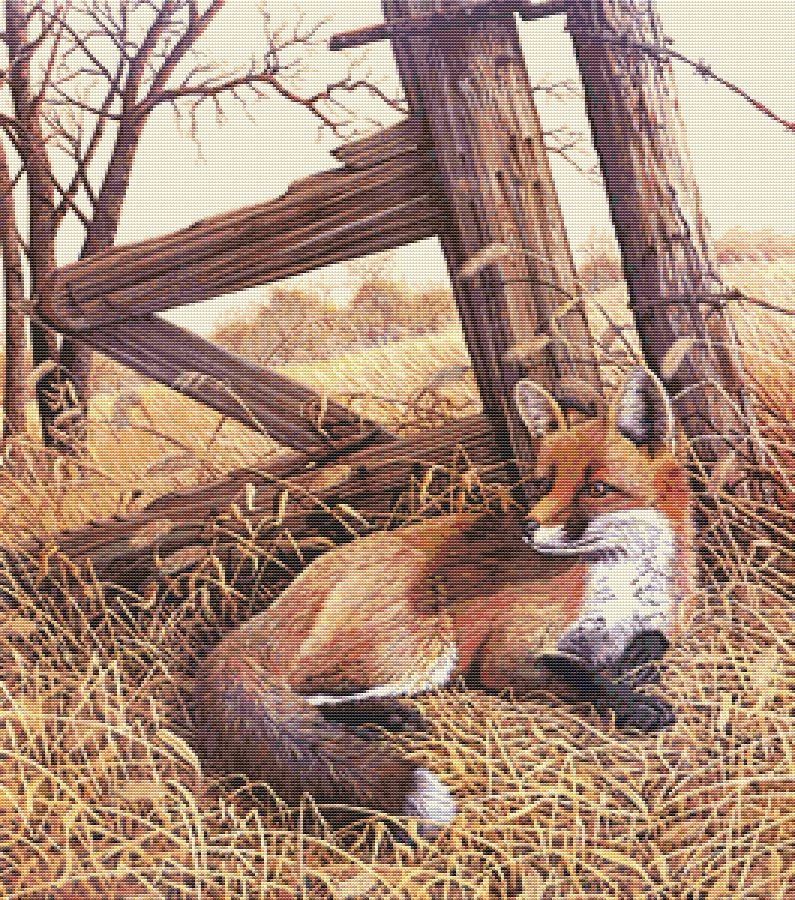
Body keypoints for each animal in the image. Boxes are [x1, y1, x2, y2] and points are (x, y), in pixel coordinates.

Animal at [193, 366, 695, 834]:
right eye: (541, 486)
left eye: (596, 489)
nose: (529, 528)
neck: (621, 587)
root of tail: (283, 597)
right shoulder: (503, 656)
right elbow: (579, 675)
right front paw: (632, 701)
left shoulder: (654, 623)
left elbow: (649, 644)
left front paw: (631, 664)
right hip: (424, 646)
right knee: (298, 691)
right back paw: (380, 717)